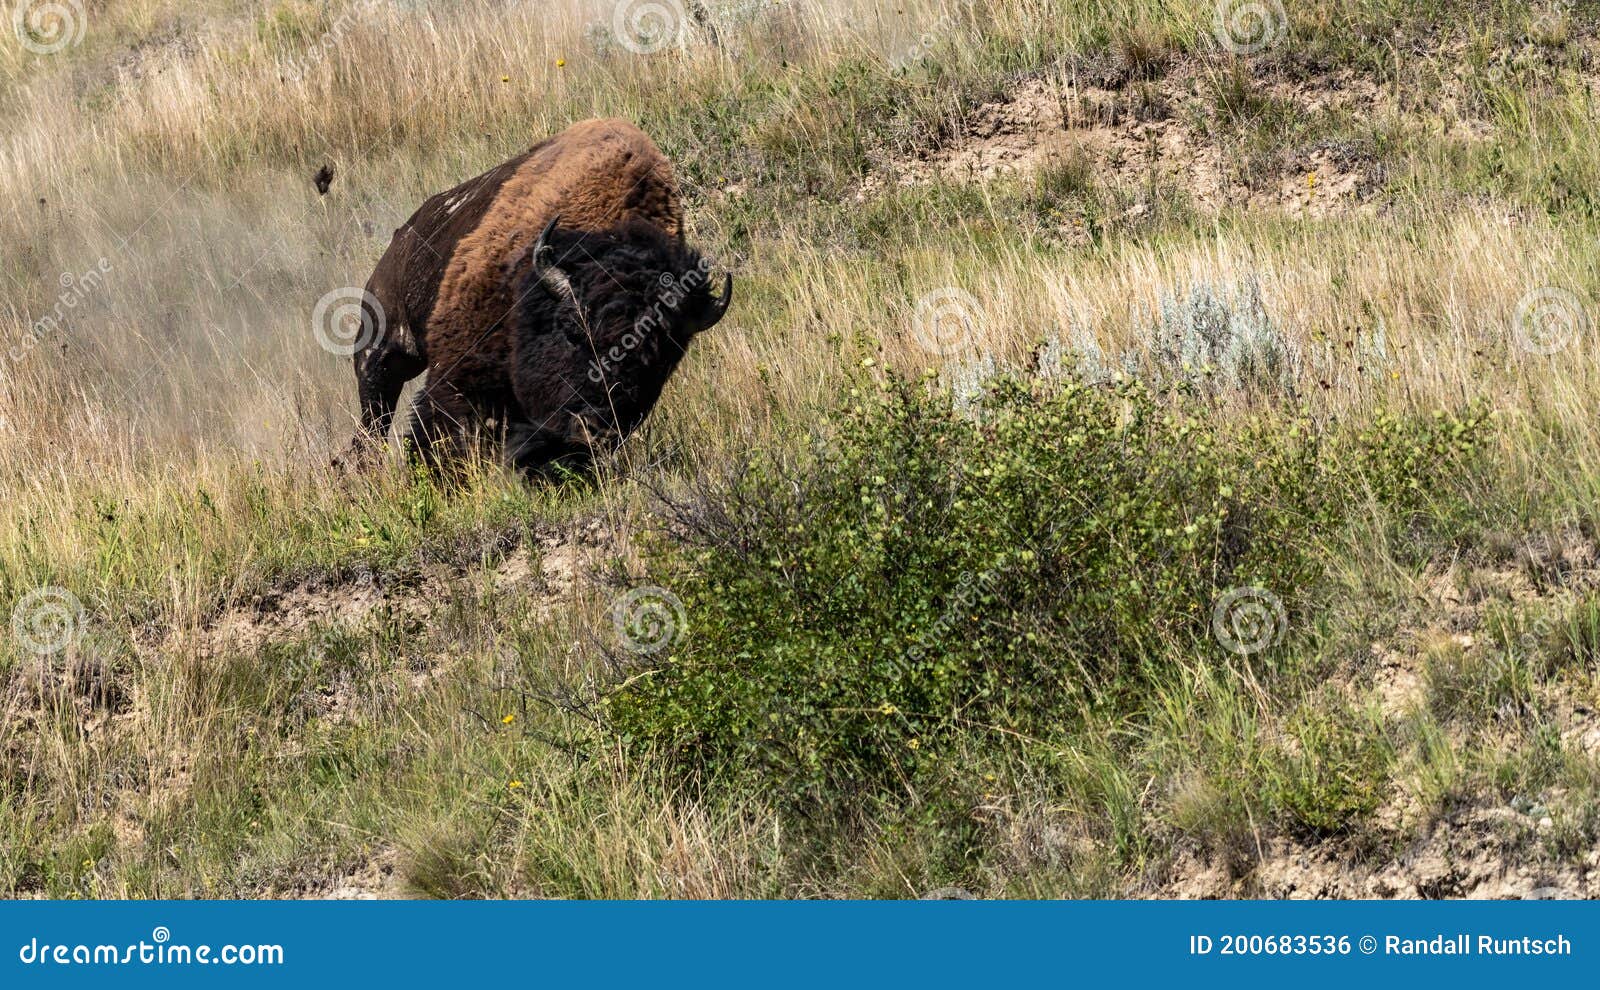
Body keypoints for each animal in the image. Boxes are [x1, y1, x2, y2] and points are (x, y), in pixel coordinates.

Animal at [352, 118, 731, 473]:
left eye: (661, 359)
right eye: (576, 333)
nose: (593, 429)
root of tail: (403, 237)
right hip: (381, 351)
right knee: (374, 416)